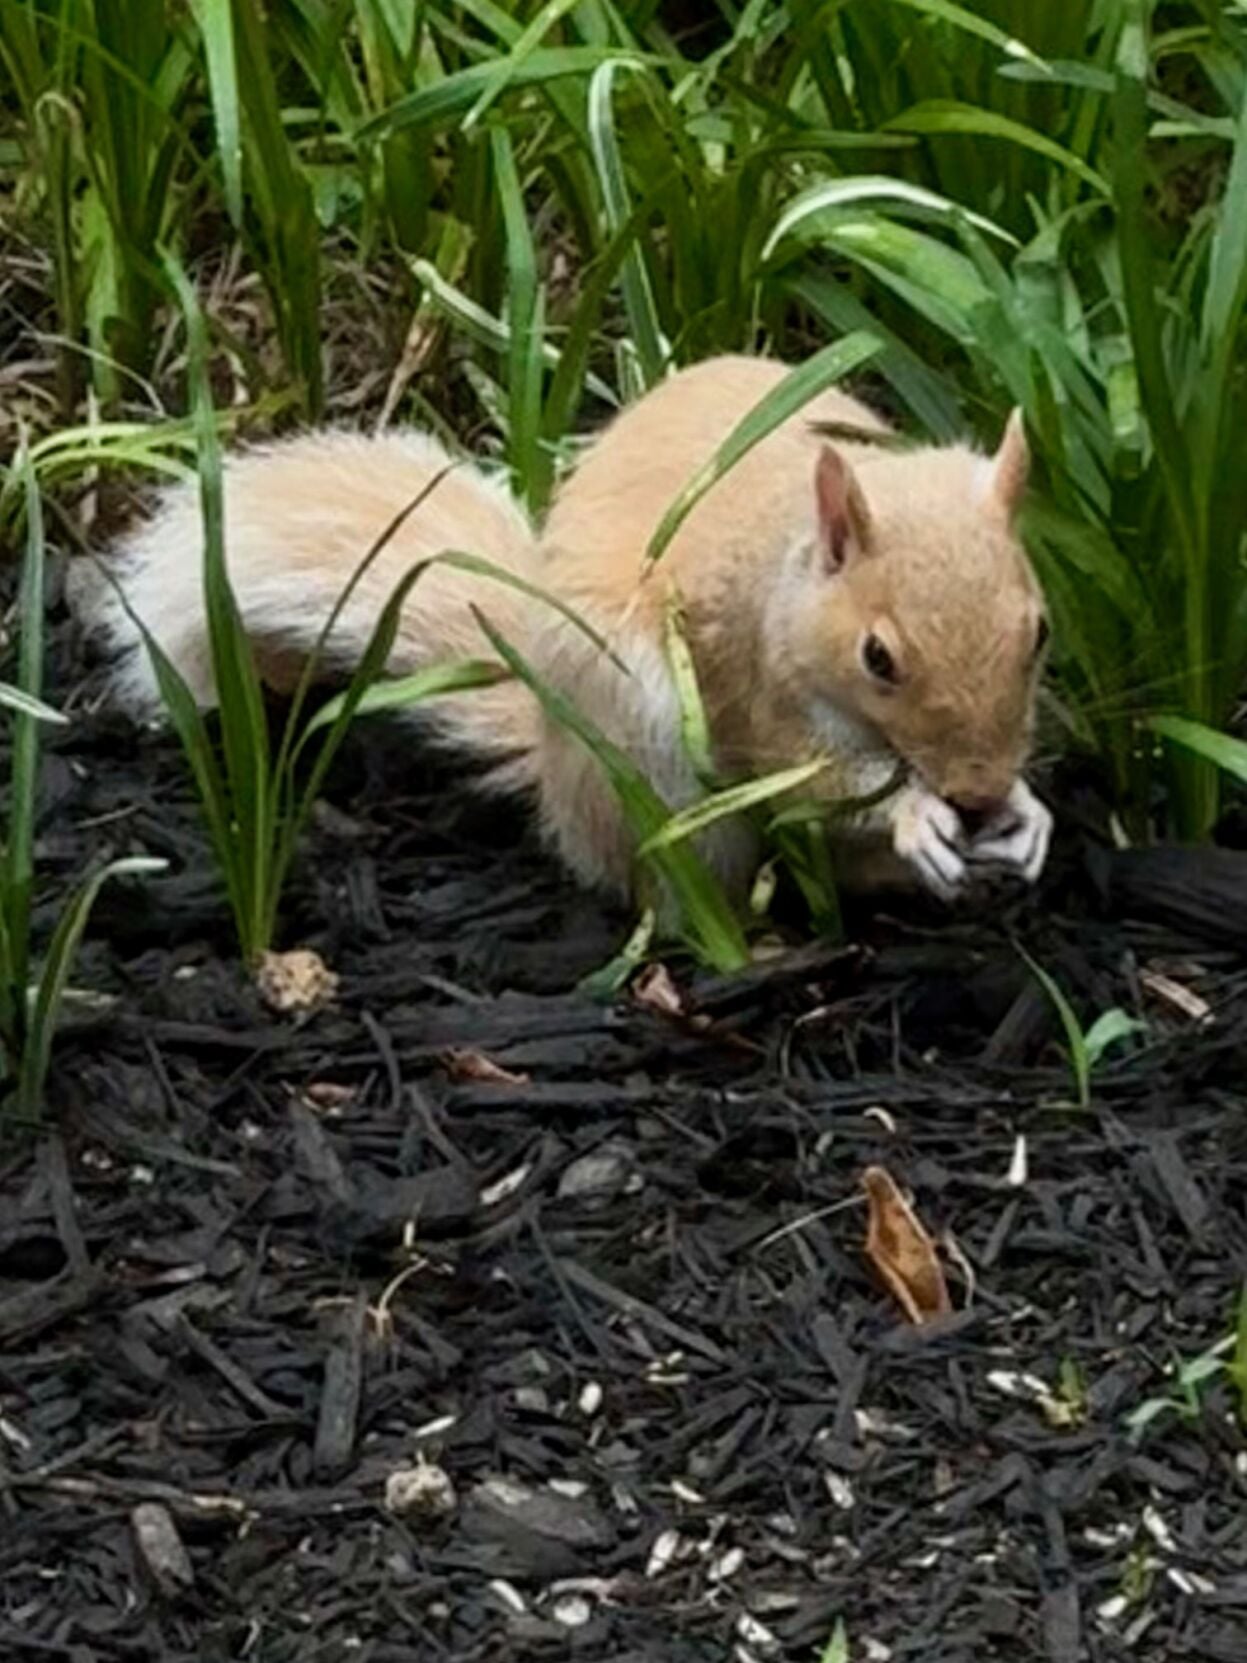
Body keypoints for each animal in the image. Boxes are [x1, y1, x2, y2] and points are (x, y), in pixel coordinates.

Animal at [85, 353, 1053, 907]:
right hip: (645, 753)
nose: (975, 791)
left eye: (1039, 632)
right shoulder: (757, 693)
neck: (784, 565)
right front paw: (915, 814)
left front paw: (1025, 813)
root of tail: (554, 767)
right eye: (877, 657)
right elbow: (814, 774)